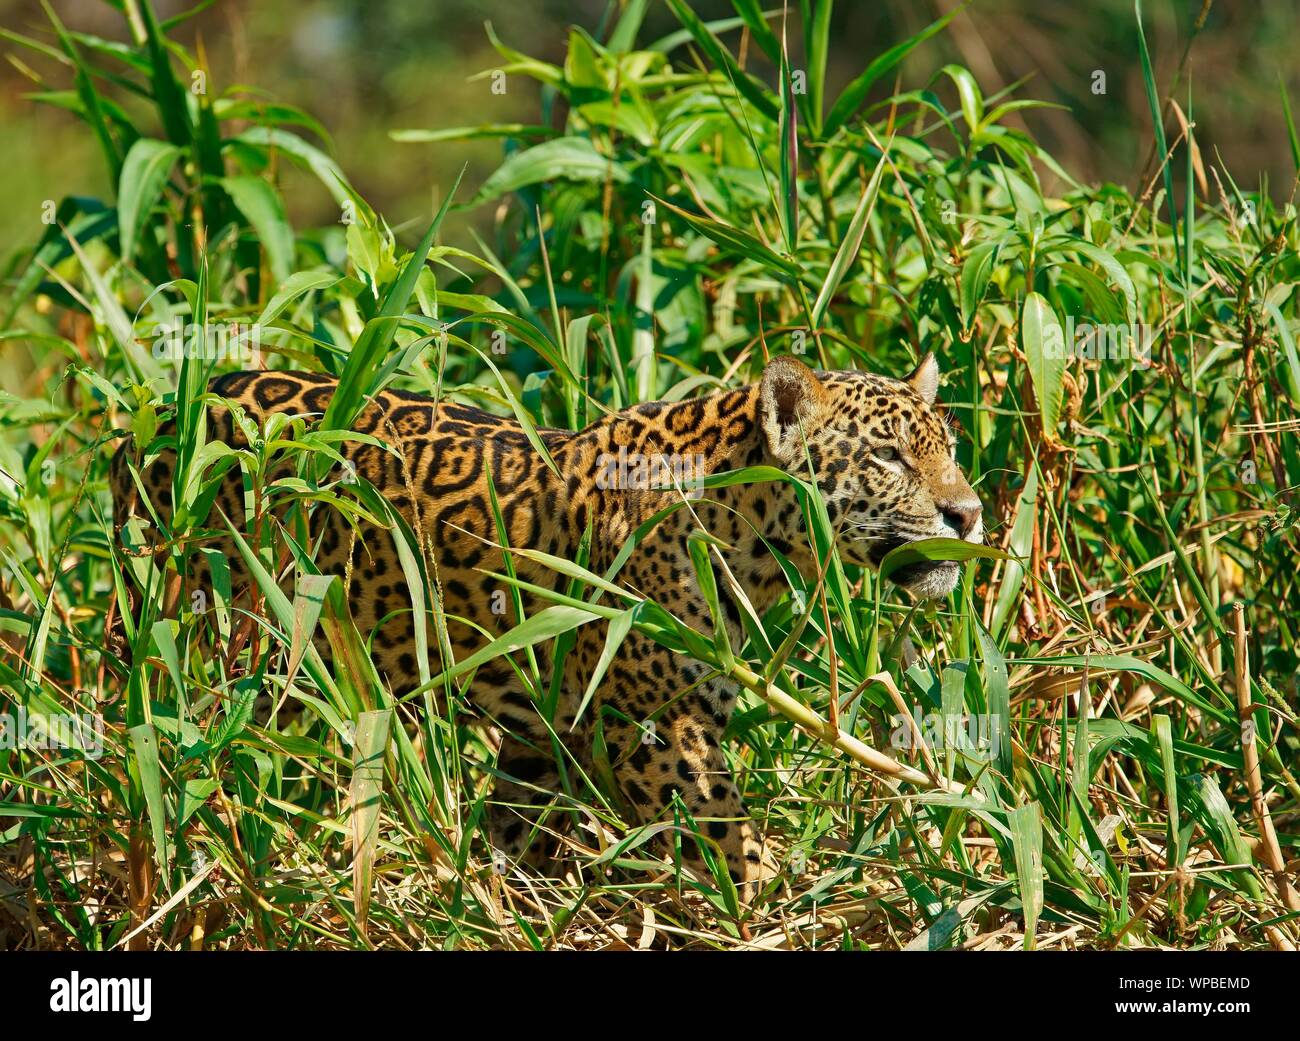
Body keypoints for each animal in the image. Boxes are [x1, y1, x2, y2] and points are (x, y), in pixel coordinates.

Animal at [108, 353, 983, 894]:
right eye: (888, 457)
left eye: (946, 447)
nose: (970, 514)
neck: (750, 527)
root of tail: (152, 419)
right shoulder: (661, 733)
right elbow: (733, 844)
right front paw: (776, 904)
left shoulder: (547, 735)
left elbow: (518, 827)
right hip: (214, 640)